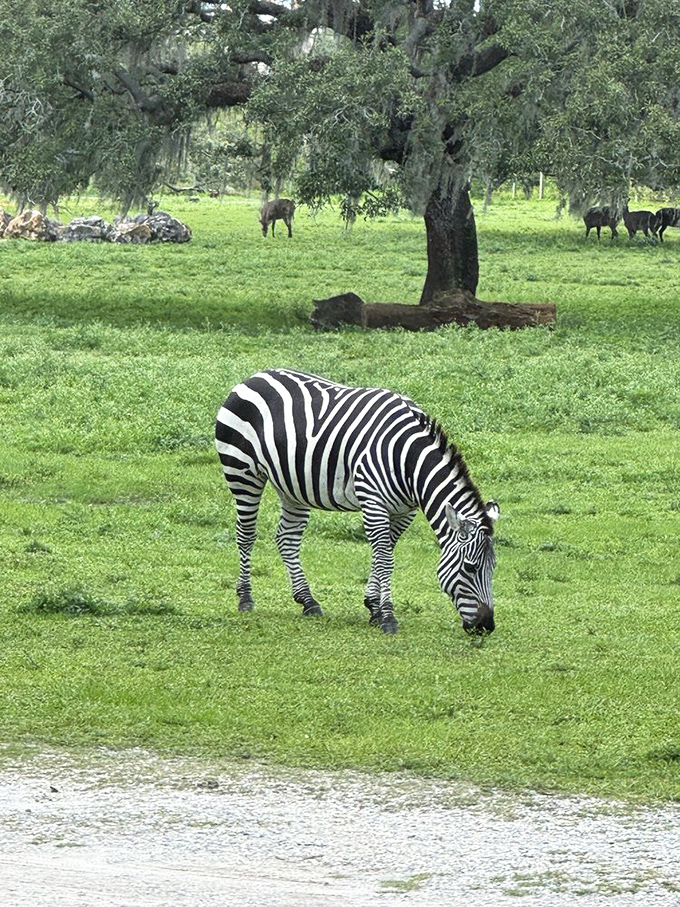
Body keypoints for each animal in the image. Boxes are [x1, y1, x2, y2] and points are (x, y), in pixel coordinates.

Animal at [214, 368, 499, 635]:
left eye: (493, 568)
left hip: (292, 485)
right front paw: (387, 617)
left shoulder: (404, 511)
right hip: (242, 471)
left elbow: (384, 553)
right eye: (470, 568)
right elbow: (385, 559)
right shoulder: (373, 502)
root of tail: (255, 376)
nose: (486, 626)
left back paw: (308, 601)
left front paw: (373, 607)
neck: (408, 461)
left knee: (287, 539)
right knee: (246, 534)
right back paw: (245, 598)